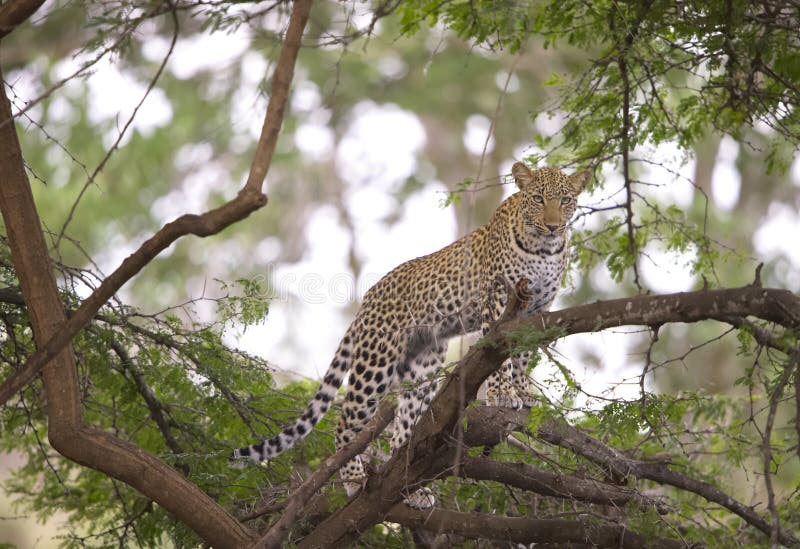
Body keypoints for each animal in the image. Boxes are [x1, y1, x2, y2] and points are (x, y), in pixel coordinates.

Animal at [232, 161, 589, 507]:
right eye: (538, 199)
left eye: (565, 200)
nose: (554, 226)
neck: (544, 249)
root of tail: (368, 299)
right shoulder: (498, 301)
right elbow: (501, 358)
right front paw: (503, 393)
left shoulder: (537, 309)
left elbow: (523, 356)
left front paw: (523, 390)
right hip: (376, 364)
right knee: (345, 421)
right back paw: (354, 479)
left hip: (423, 365)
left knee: (403, 427)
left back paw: (410, 484)